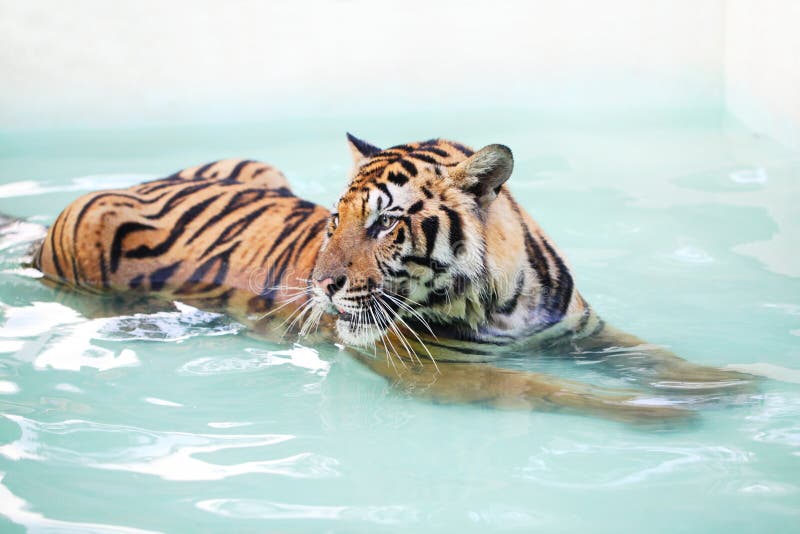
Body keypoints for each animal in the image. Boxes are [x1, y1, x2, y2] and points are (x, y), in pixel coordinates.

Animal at [29, 134, 755, 424]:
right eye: (334, 221)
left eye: (383, 224)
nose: (320, 286)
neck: (503, 306)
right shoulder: (435, 369)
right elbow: (543, 388)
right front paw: (654, 411)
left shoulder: (580, 333)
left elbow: (657, 357)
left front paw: (732, 384)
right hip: (90, 229)